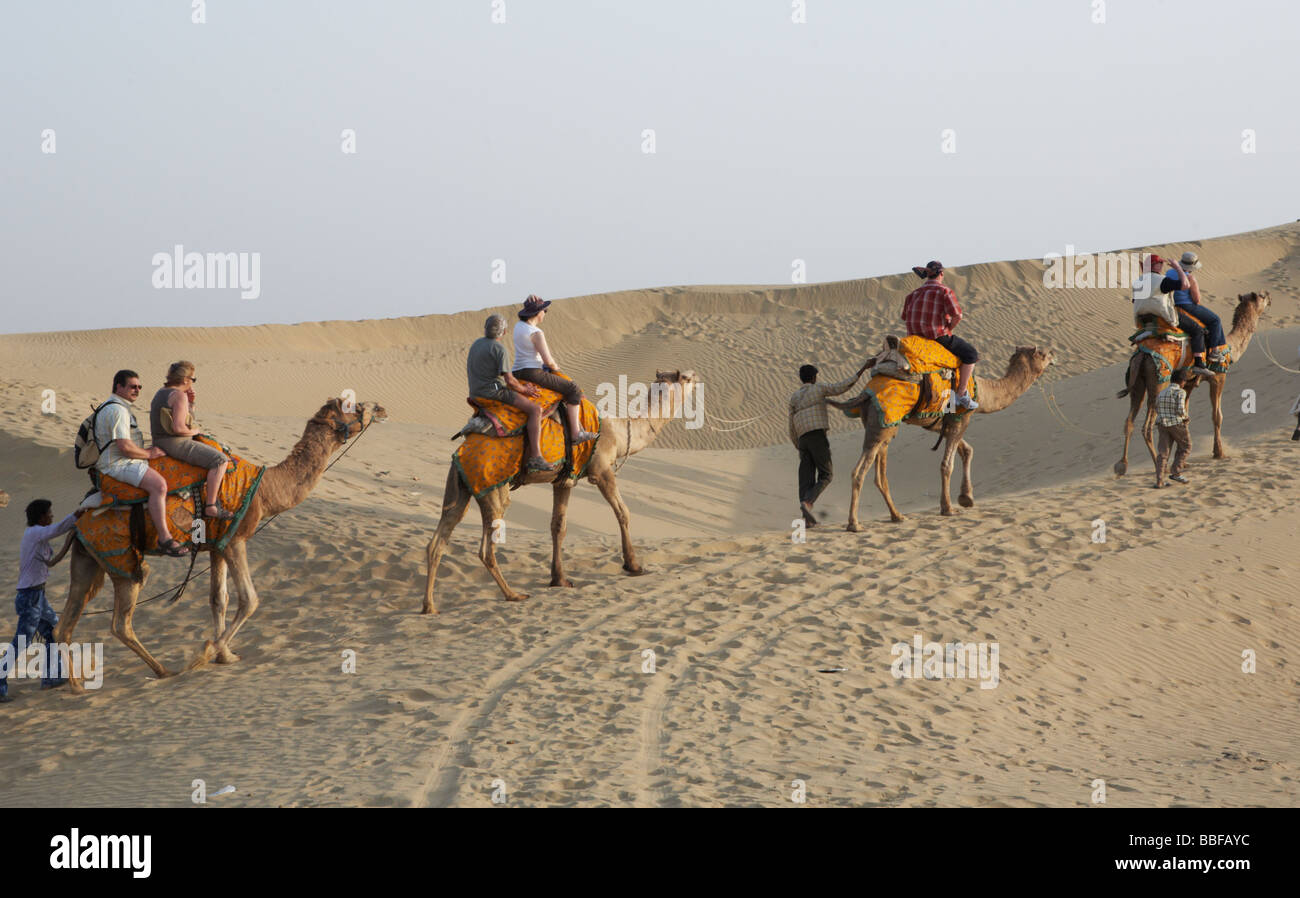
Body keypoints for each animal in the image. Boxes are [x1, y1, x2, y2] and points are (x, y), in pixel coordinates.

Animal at [52, 398, 386, 693]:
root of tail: (78, 519)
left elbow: (218, 598)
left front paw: (224, 655)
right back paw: (163, 670)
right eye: (352, 405)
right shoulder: (236, 540)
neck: (266, 490)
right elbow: (250, 599)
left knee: (65, 622)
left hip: (88, 560)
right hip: (124, 561)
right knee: (121, 622)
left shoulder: (217, 545)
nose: (380, 408)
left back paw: (78, 685)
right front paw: (209, 651)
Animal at [423, 370, 698, 611]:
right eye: (685, 377)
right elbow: (623, 512)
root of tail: (460, 452)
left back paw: (430, 607)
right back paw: (513, 595)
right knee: (485, 548)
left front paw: (559, 579)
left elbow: (558, 525)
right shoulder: (601, 471)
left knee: (439, 538)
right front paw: (633, 565)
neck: (619, 432)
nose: (696, 376)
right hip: (492, 487)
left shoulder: (563, 480)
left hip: (460, 485)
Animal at [834, 346, 1054, 528]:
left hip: (884, 426)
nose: (1053, 355)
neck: (983, 392)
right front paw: (948, 508)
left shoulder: (940, 423)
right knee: (859, 472)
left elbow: (967, 450)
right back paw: (854, 524)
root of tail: (865, 392)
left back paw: (897, 516)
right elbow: (947, 464)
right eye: (1042, 354)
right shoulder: (962, 417)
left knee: (880, 474)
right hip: (882, 425)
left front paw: (966, 497)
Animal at [1114, 292, 1269, 476]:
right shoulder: (1218, 377)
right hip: (1158, 381)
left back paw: (1122, 466)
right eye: (1261, 296)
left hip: (1138, 382)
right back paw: (1159, 465)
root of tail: (1142, 355)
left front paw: (1184, 461)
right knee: (1147, 427)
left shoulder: (1186, 383)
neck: (1230, 349)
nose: (1269, 296)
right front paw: (1219, 453)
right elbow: (1217, 416)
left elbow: (1184, 418)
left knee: (1129, 421)